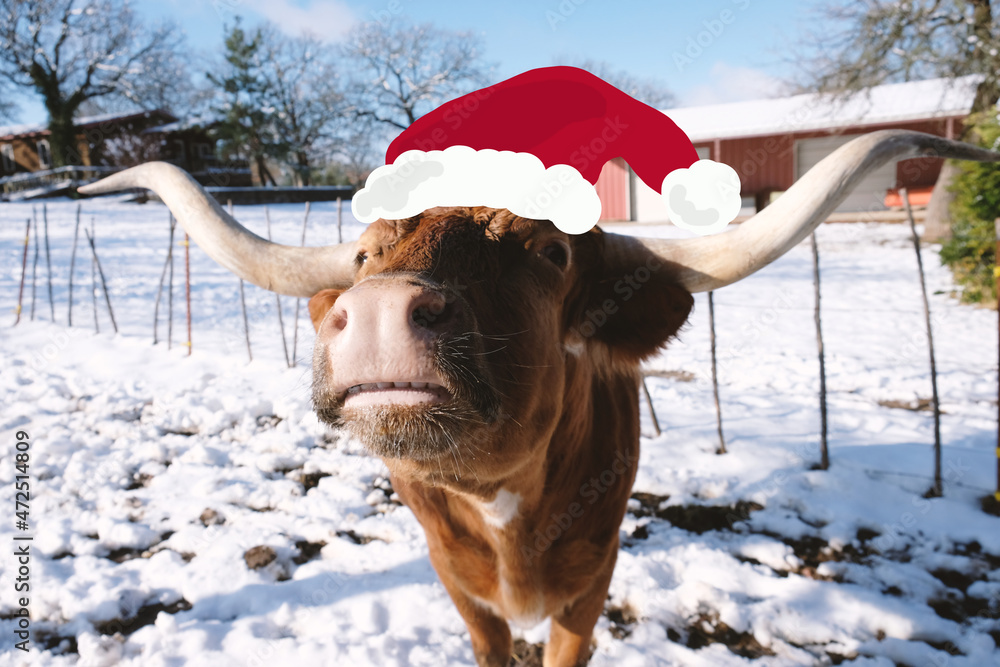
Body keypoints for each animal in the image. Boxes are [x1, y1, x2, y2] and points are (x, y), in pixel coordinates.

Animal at [80, 130, 999, 667]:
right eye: (368, 253)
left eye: (551, 252)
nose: (376, 308)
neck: (505, 506)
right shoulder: (460, 584)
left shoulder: (590, 586)